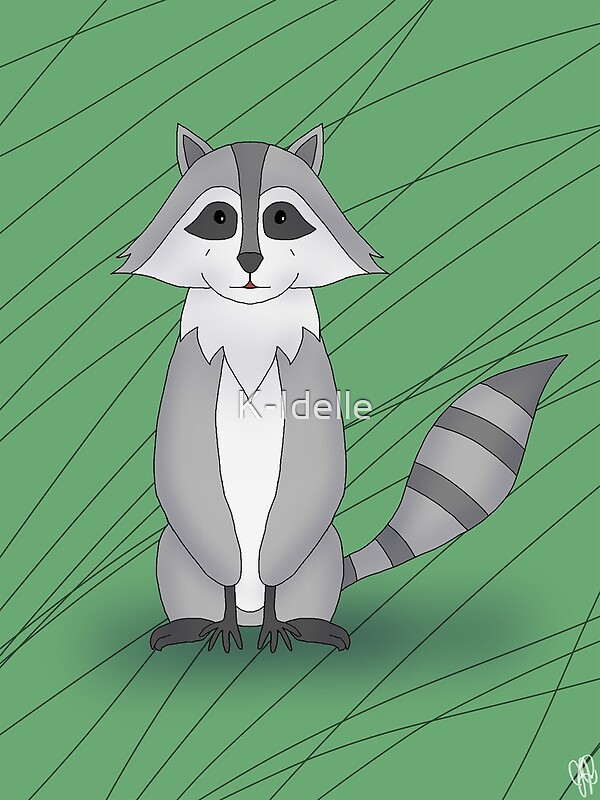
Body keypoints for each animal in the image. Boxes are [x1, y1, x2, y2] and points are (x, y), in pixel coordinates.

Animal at [115, 124, 564, 653]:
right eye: (218, 218)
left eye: (281, 218)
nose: (250, 260)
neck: (249, 321)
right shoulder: (192, 368)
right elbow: (183, 475)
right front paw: (220, 619)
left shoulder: (306, 367)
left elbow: (315, 470)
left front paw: (277, 620)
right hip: (177, 553)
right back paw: (204, 622)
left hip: (320, 553)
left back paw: (292, 622)